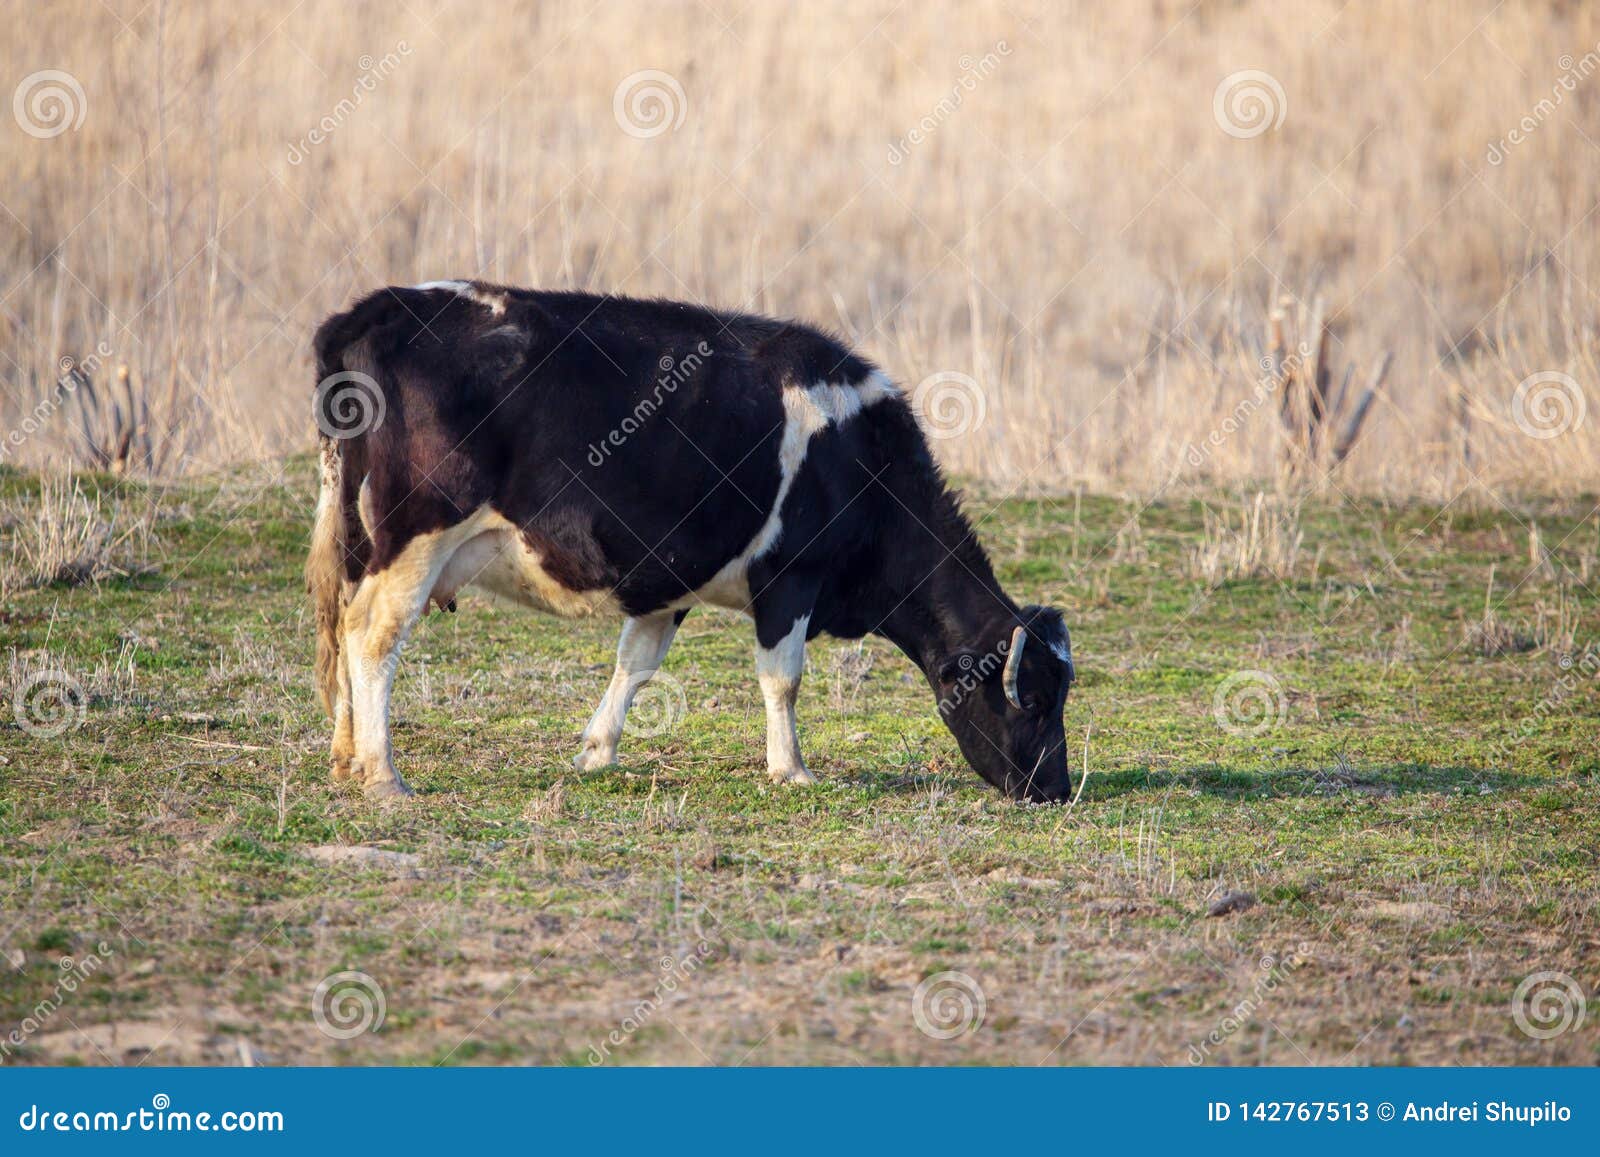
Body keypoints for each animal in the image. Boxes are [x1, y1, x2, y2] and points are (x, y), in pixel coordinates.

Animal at [305, 281, 1076, 804]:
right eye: (1035, 701)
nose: (1055, 789)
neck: (863, 456)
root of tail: (376, 308)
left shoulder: (664, 580)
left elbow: (636, 664)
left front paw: (596, 750)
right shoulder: (790, 577)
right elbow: (783, 678)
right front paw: (792, 769)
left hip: (356, 535)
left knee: (339, 626)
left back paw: (346, 756)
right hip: (418, 531)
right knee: (373, 633)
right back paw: (383, 772)